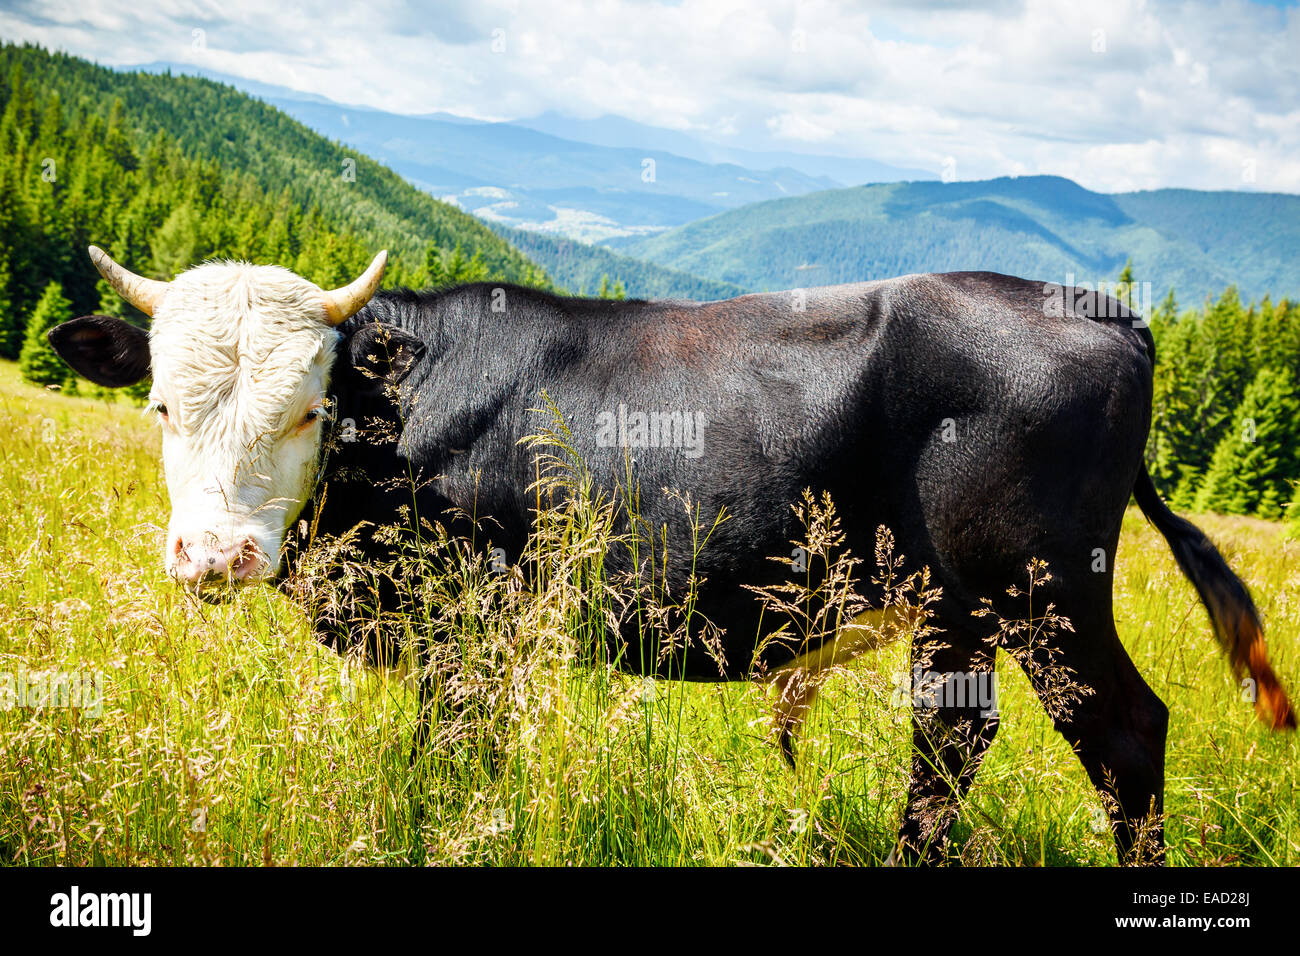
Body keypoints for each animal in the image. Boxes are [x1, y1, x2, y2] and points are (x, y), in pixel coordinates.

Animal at [50, 245, 1294, 866]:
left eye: (308, 409)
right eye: (160, 402)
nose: (215, 553)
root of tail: (1101, 310)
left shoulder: (472, 628)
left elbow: (450, 760)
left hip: (1045, 593)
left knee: (1122, 735)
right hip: (958, 608)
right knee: (950, 736)